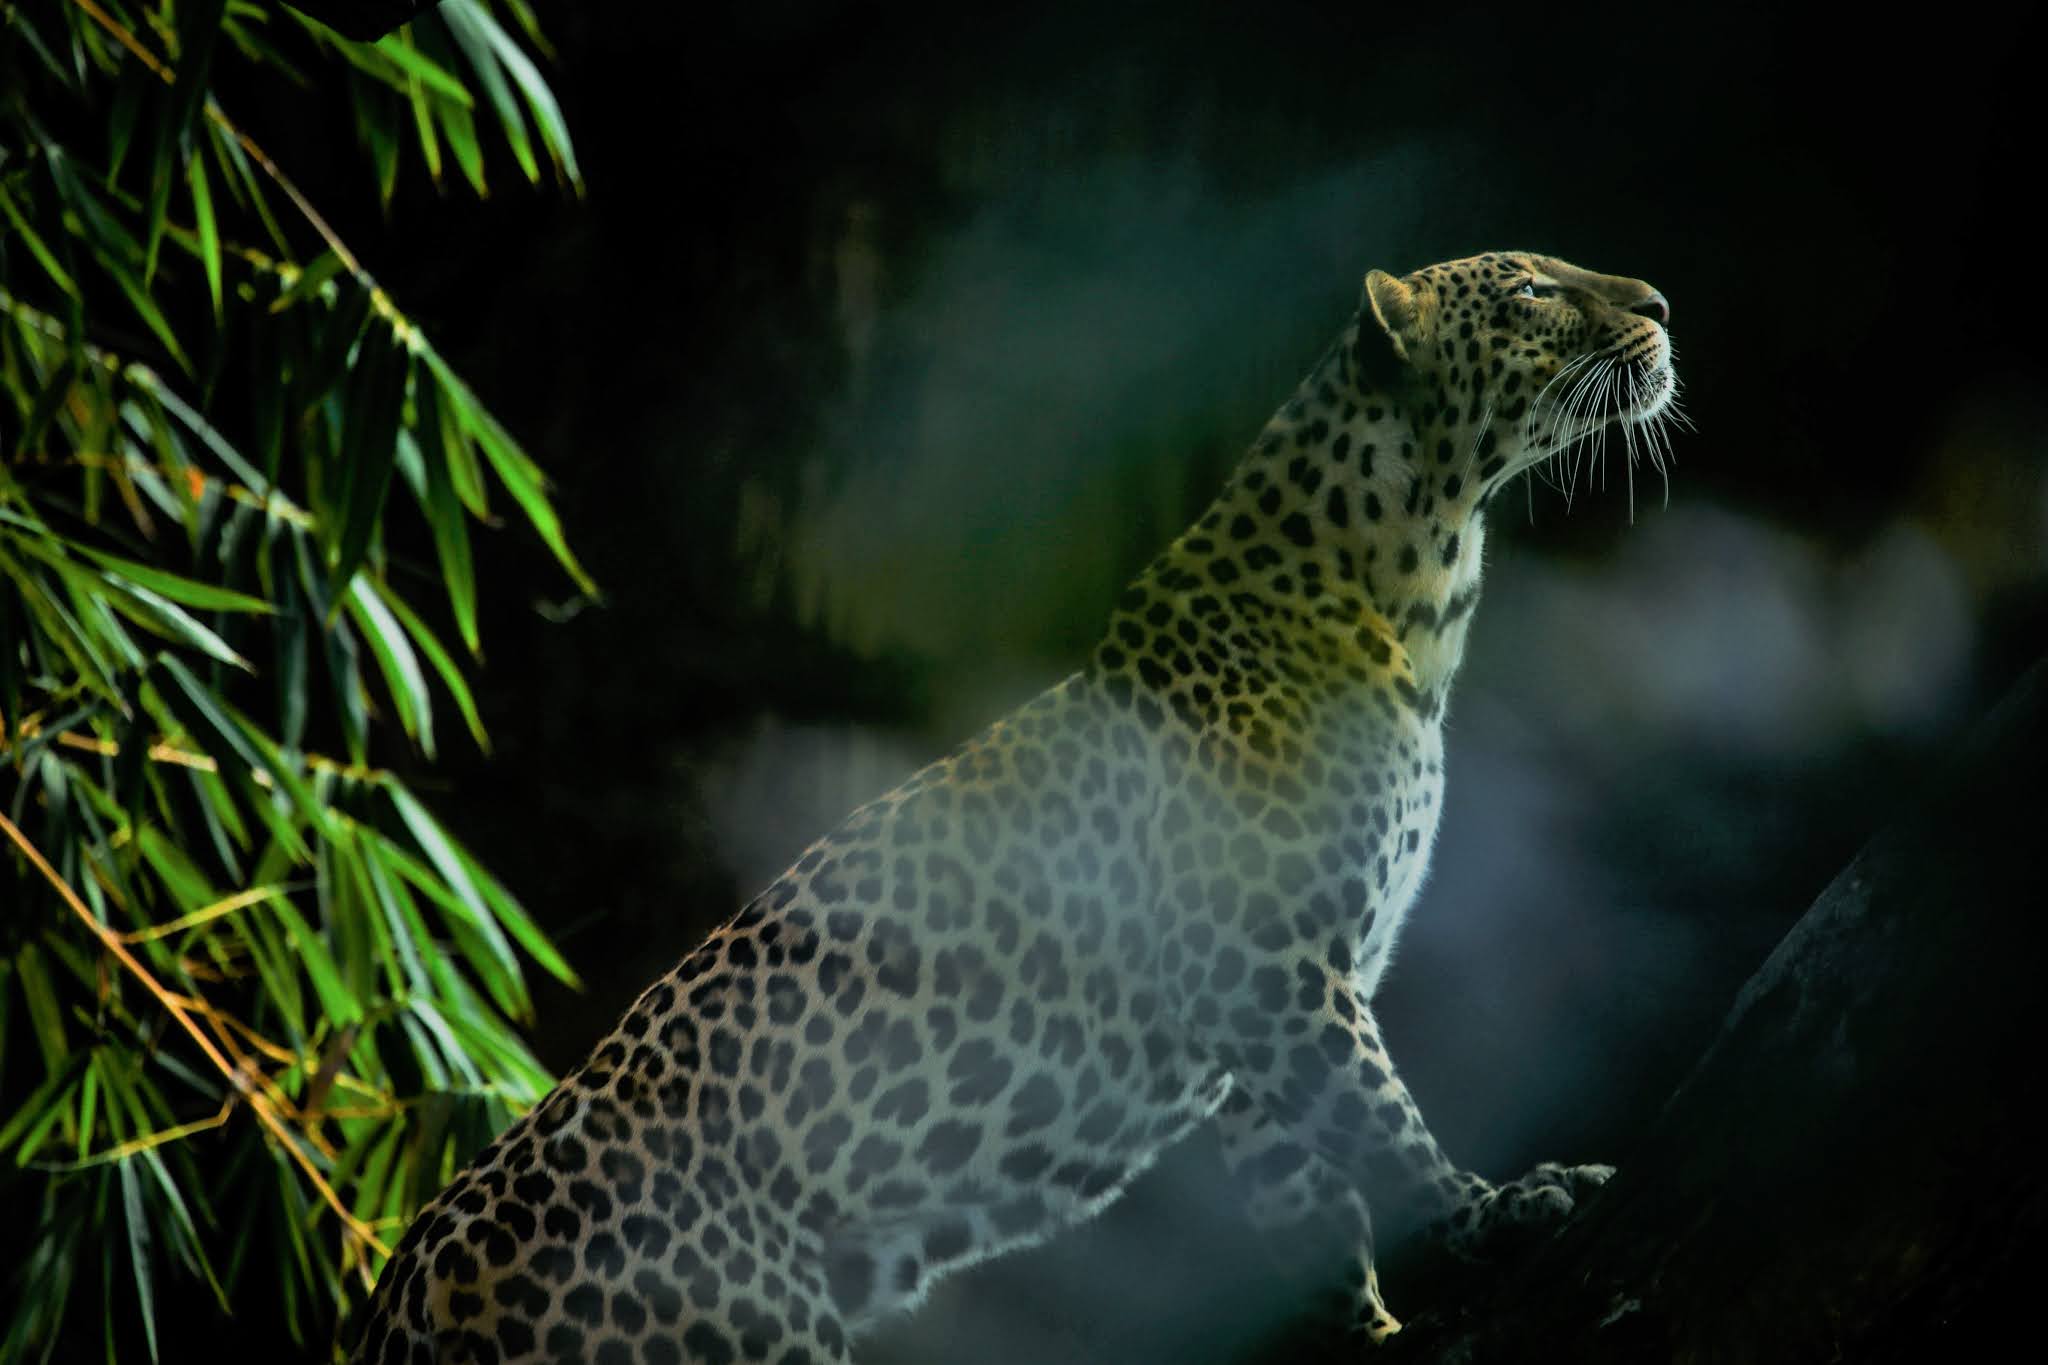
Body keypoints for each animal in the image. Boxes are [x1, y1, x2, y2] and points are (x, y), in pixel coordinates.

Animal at [348, 250, 1681, 1365]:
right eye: (1533, 292)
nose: (1661, 307)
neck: (1417, 587)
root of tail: (406, 1287)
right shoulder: (1272, 969)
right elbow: (1379, 1123)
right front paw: (1491, 1214)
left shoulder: (1274, 1012)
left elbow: (1306, 1193)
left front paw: (1370, 1332)